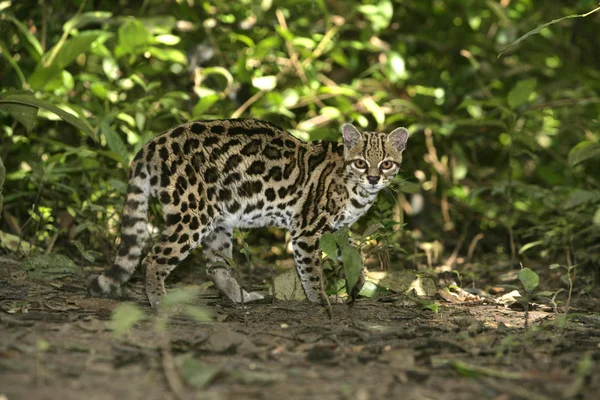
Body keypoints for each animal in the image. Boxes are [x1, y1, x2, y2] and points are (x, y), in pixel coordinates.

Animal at [88, 117, 408, 308]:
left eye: (387, 164)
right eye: (361, 163)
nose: (374, 179)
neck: (355, 187)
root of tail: (152, 144)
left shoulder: (336, 231)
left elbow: (356, 254)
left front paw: (359, 281)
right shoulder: (305, 231)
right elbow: (312, 272)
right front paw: (321, 300)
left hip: (217, 220)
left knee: (216, 267)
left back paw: (241, 297)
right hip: (193, 213)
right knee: (152, 258)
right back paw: (160, 302)